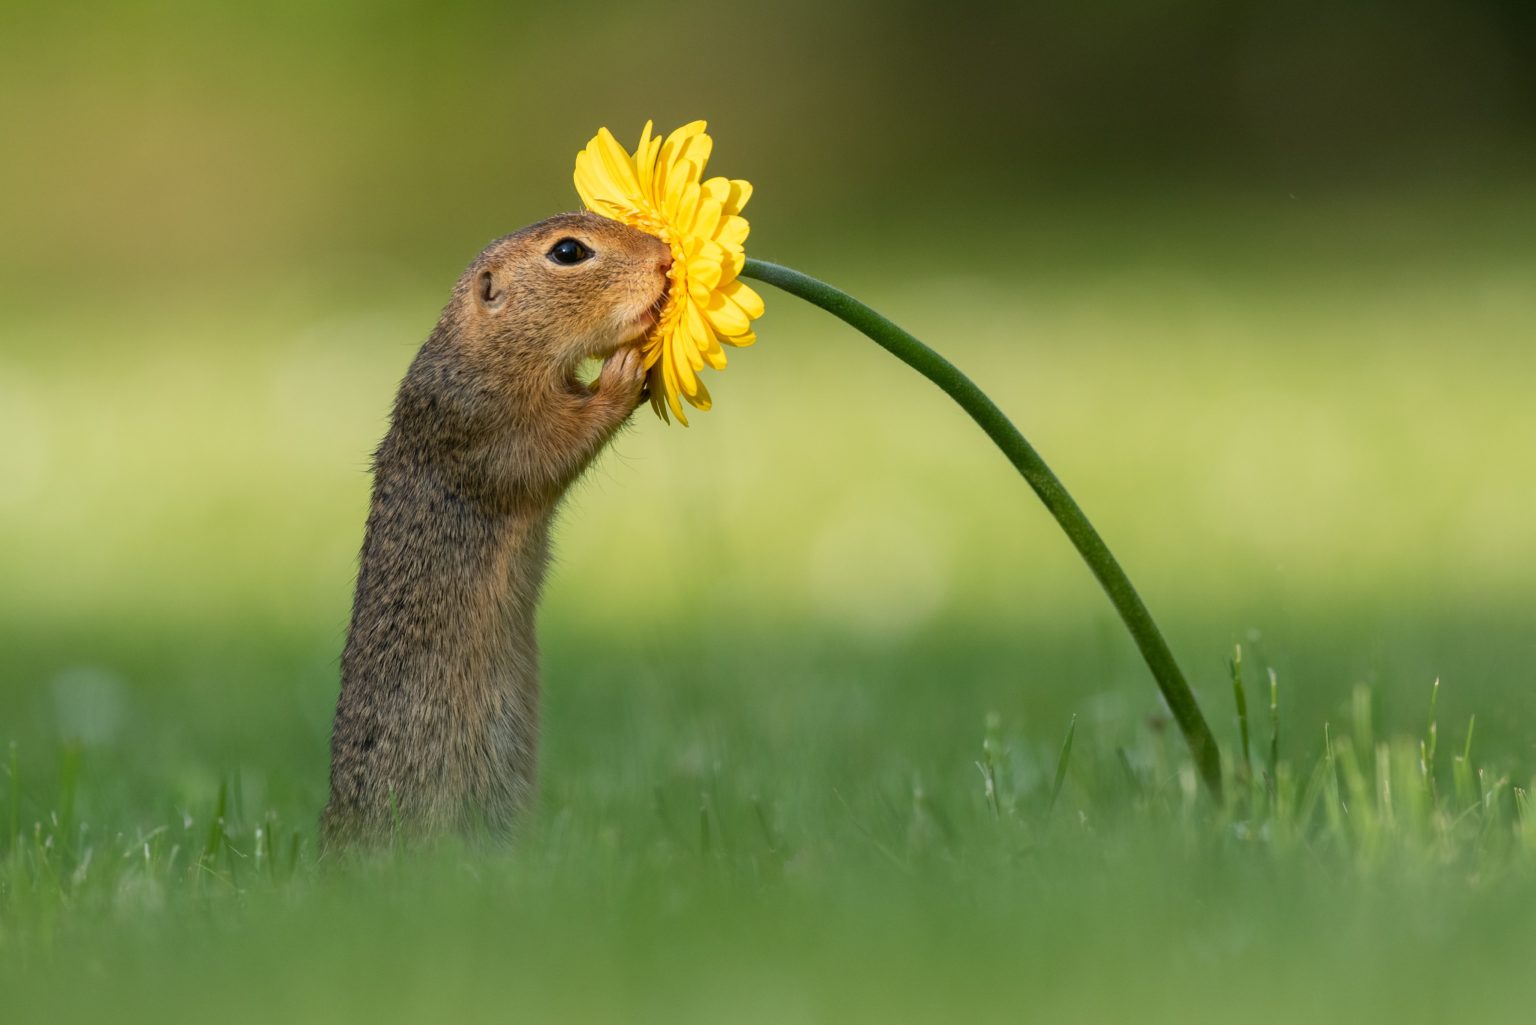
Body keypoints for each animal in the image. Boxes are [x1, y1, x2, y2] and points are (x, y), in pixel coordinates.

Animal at [321, 212, 672, 847]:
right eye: (568, 252)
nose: (664, 258)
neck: (488, 347)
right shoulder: (489, 421)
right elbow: (554, 446)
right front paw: (625, 371)